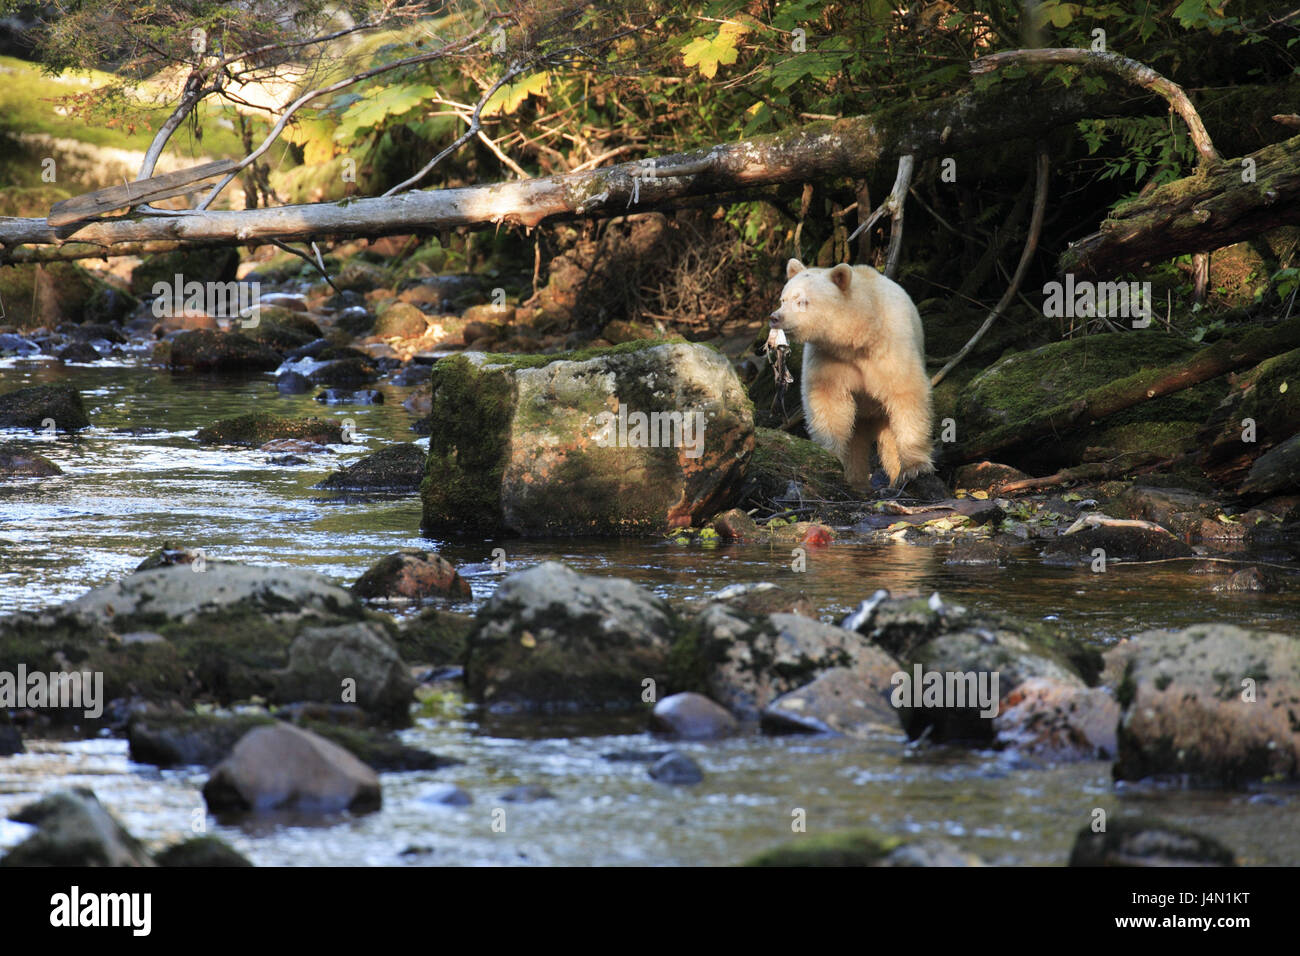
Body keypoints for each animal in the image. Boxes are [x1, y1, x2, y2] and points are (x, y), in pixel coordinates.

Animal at [769, 258, 934, 490]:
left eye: (802, 301)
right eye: (783, 299)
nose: (775, 317)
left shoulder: (890, 347)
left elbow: (906, 393)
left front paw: (915, 468)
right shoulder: (828, 359)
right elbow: (828, 405)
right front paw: (830, 459)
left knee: (888, 438)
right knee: (856, 440)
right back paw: (856, 481)